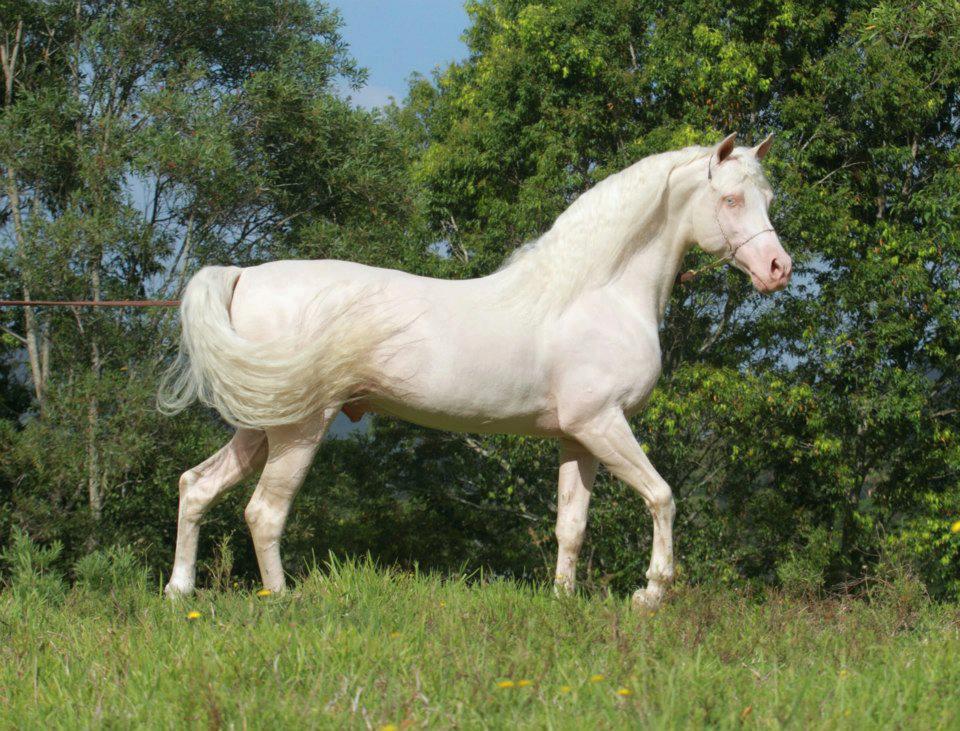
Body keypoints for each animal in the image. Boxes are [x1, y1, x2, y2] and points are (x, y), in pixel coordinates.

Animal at [159, 133, 791, 609]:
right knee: (264, 513)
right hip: (298, 430)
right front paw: (652, 593)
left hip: (260, 428)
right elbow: (662, 496)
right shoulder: (604, 425)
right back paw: (282, 600)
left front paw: (563, 600)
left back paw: (179, 591)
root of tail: (244, 276)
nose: (778, 269)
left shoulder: (578, 437)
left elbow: (571, 524)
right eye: (731, 201)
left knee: (197, 486)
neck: (594, 293)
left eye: (767, 199)